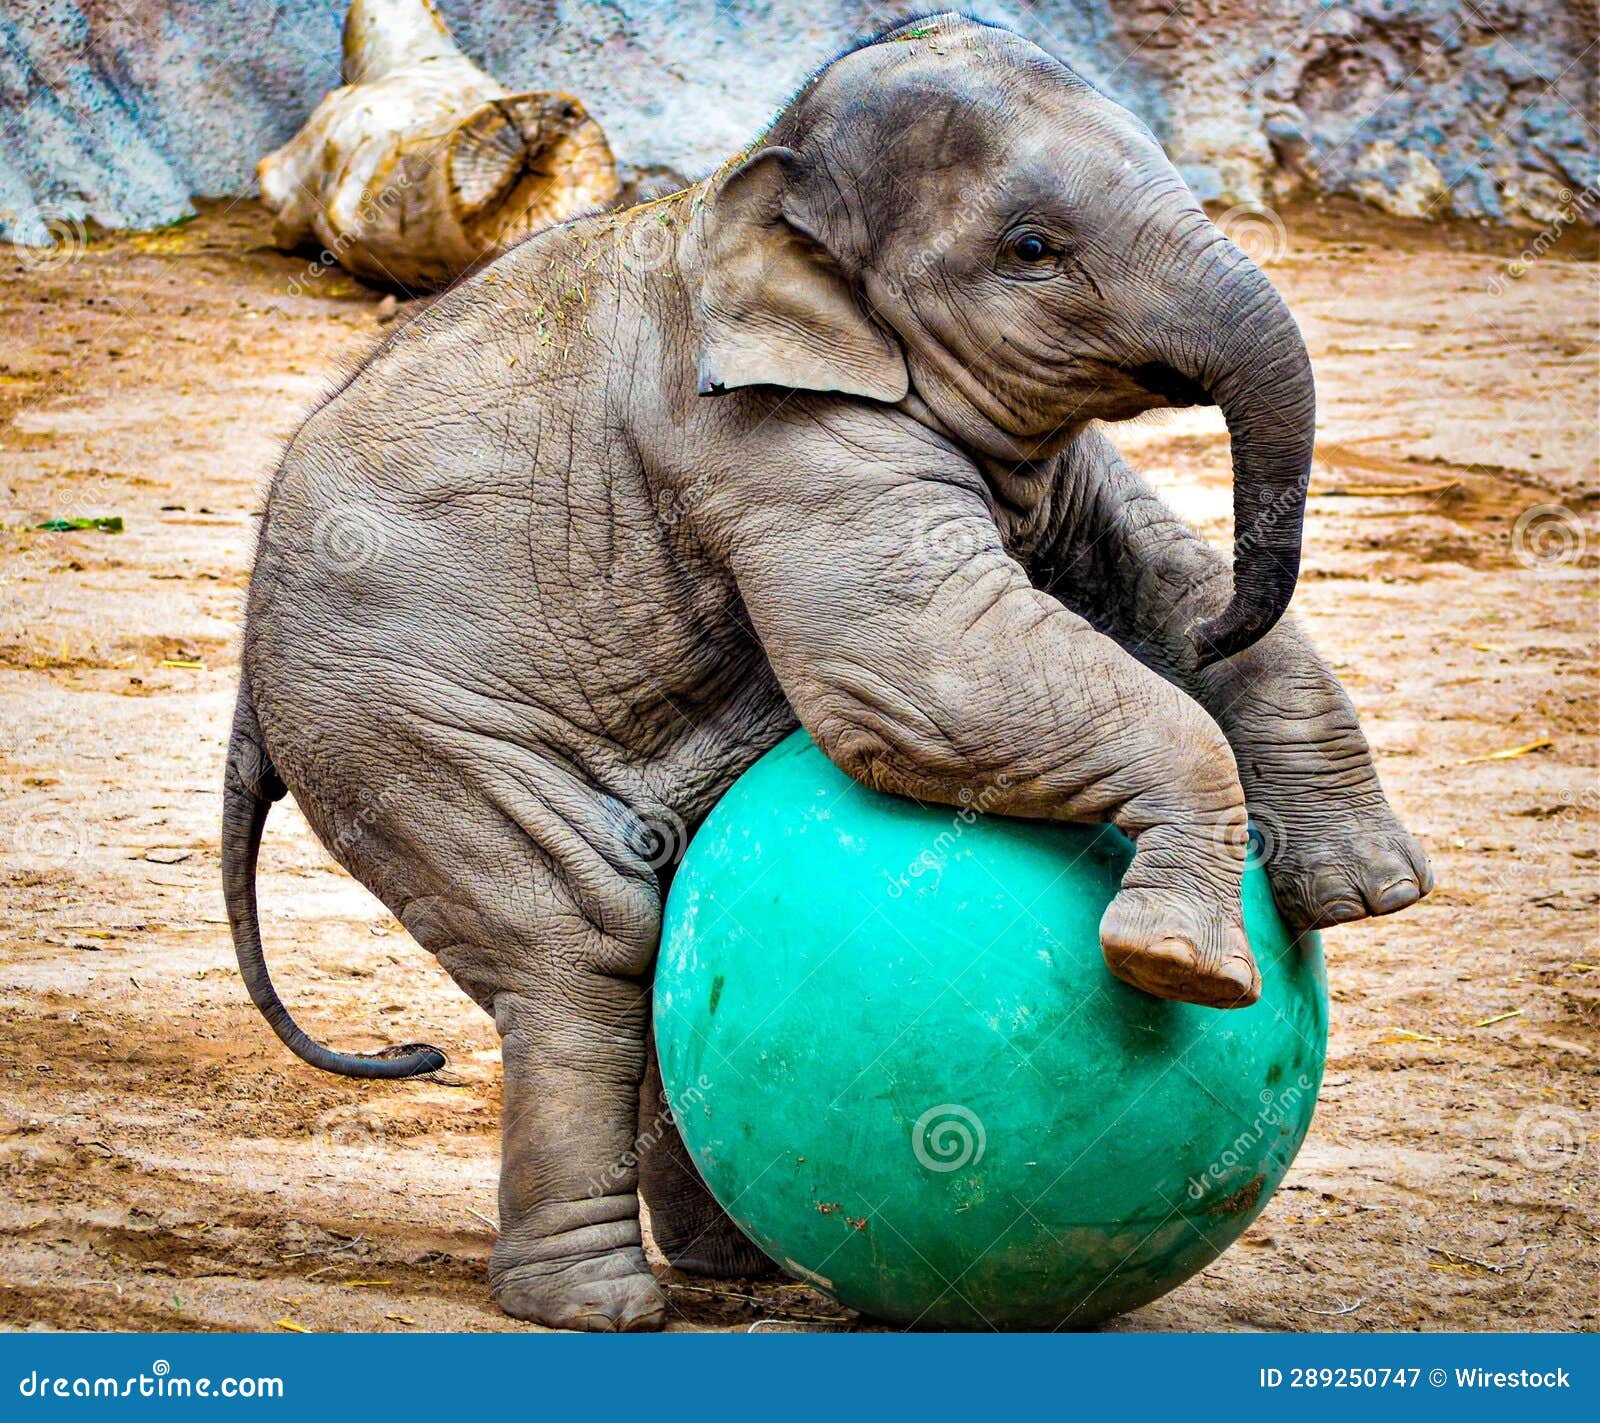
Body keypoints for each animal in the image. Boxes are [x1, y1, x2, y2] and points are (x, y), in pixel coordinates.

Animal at [223, 14, 1431, 1331]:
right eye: (1031, 249)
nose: (1217, 634)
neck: (750, 176)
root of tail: (247, 673)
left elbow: (1135, 565)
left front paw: (1369, 890)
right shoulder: (766, 439)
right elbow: (919, 663)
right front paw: (1181, 966)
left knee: (647, 944)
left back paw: (733, 1266)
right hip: (397, 729)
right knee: (580, 944)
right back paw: (602, 1304)